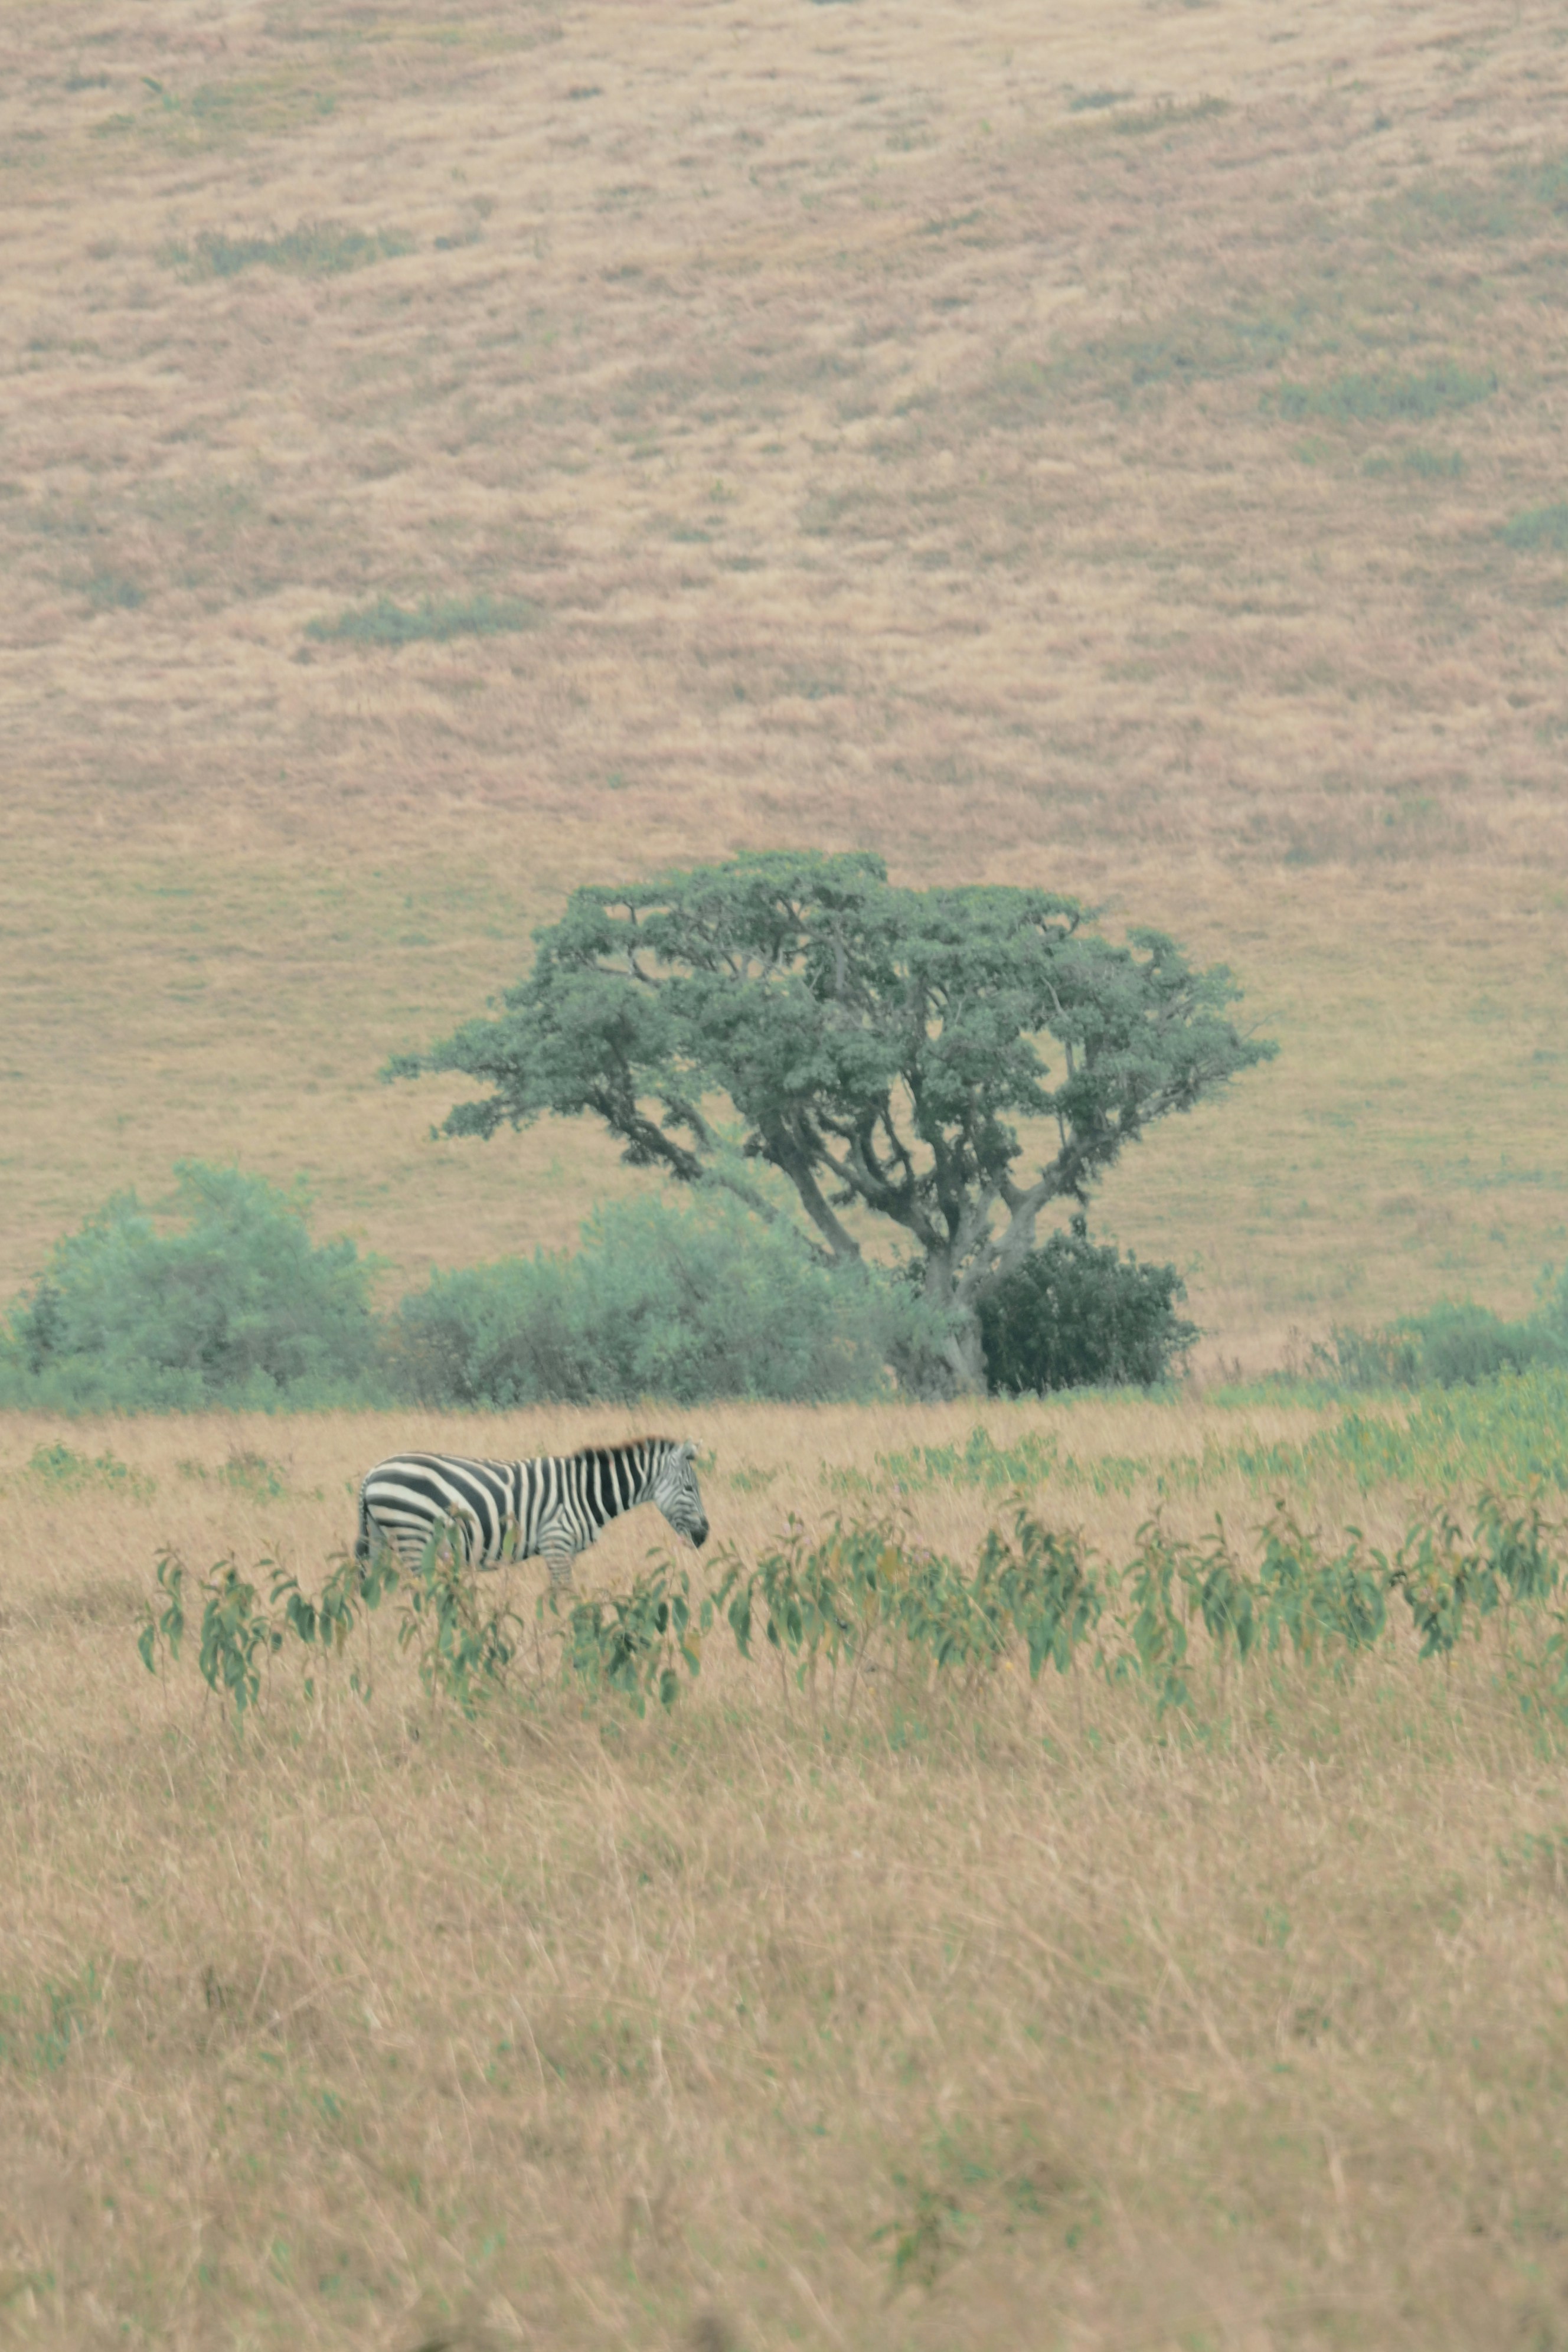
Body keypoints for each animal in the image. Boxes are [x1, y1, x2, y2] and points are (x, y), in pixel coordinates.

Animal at [353, 1434, 709, 1593]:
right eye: (689, 1488)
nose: (705, 1536)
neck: (585, 1492)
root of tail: (371, 1474)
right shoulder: (557, 1543)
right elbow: (565, 1598)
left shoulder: (562, 1551)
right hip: (415, 1539)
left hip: (381, 1543)